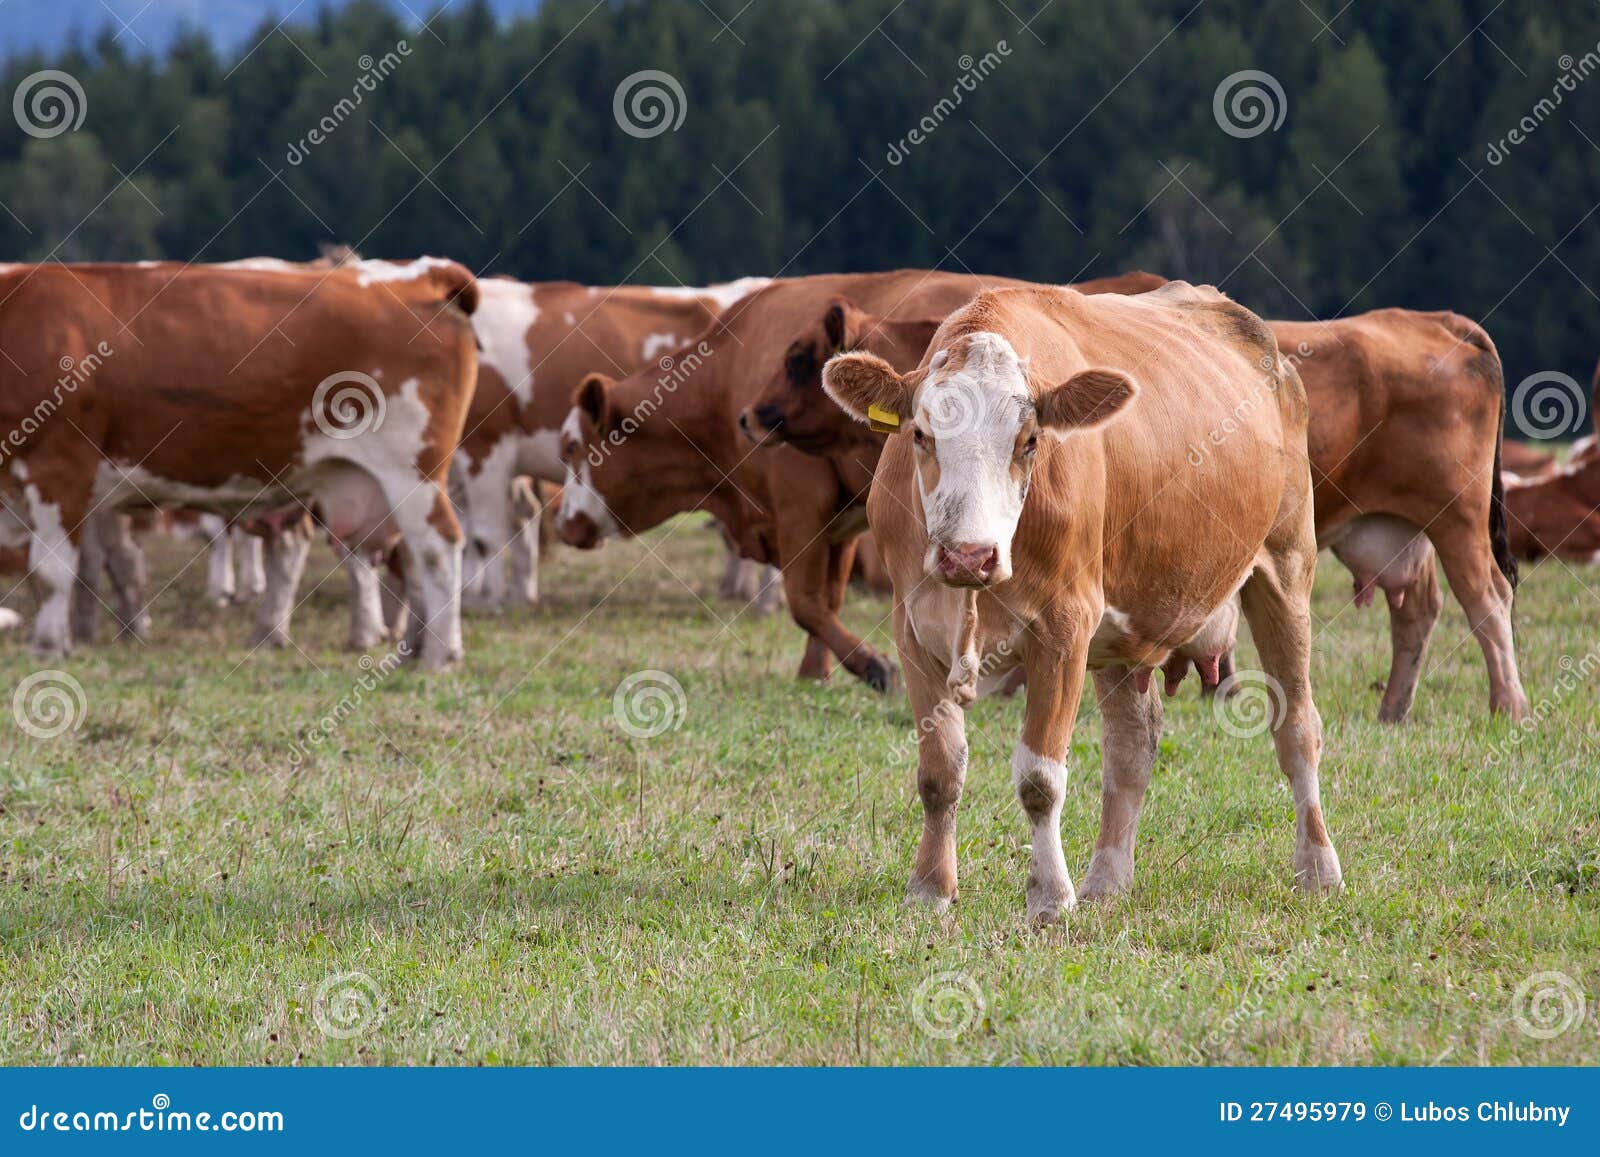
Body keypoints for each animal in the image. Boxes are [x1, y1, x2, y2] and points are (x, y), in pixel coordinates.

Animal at [0, 258, 478, 668]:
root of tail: (424, 272)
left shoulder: (58, 467)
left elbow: (50, 570)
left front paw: (46, 648)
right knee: (413, 557)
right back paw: (415, 648)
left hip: (412, 472)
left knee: (438, 549)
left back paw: (441, 655)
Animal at [744, 290, 1529, 721]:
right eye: (920, 433)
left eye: (799, 357)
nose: (752, 415)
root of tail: (1445, 322)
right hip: (1396, 530)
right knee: (1418, 608)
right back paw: (1395, 708)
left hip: (1455, 520)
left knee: (1487, 599)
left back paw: (1509, 706)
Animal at [820, 282, 1338, 924]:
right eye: (920, 434)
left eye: (1029, 441)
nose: (969, 556)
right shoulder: (912, 628)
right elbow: (939, 769)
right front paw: (931, 888)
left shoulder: (1064, 626)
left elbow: (1040, 778)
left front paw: (1049, 896)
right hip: (1124, 634)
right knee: (1131, 750)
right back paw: (1107, 880)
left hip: (1286, 569)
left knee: (1298, 729)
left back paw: (1318, 868)